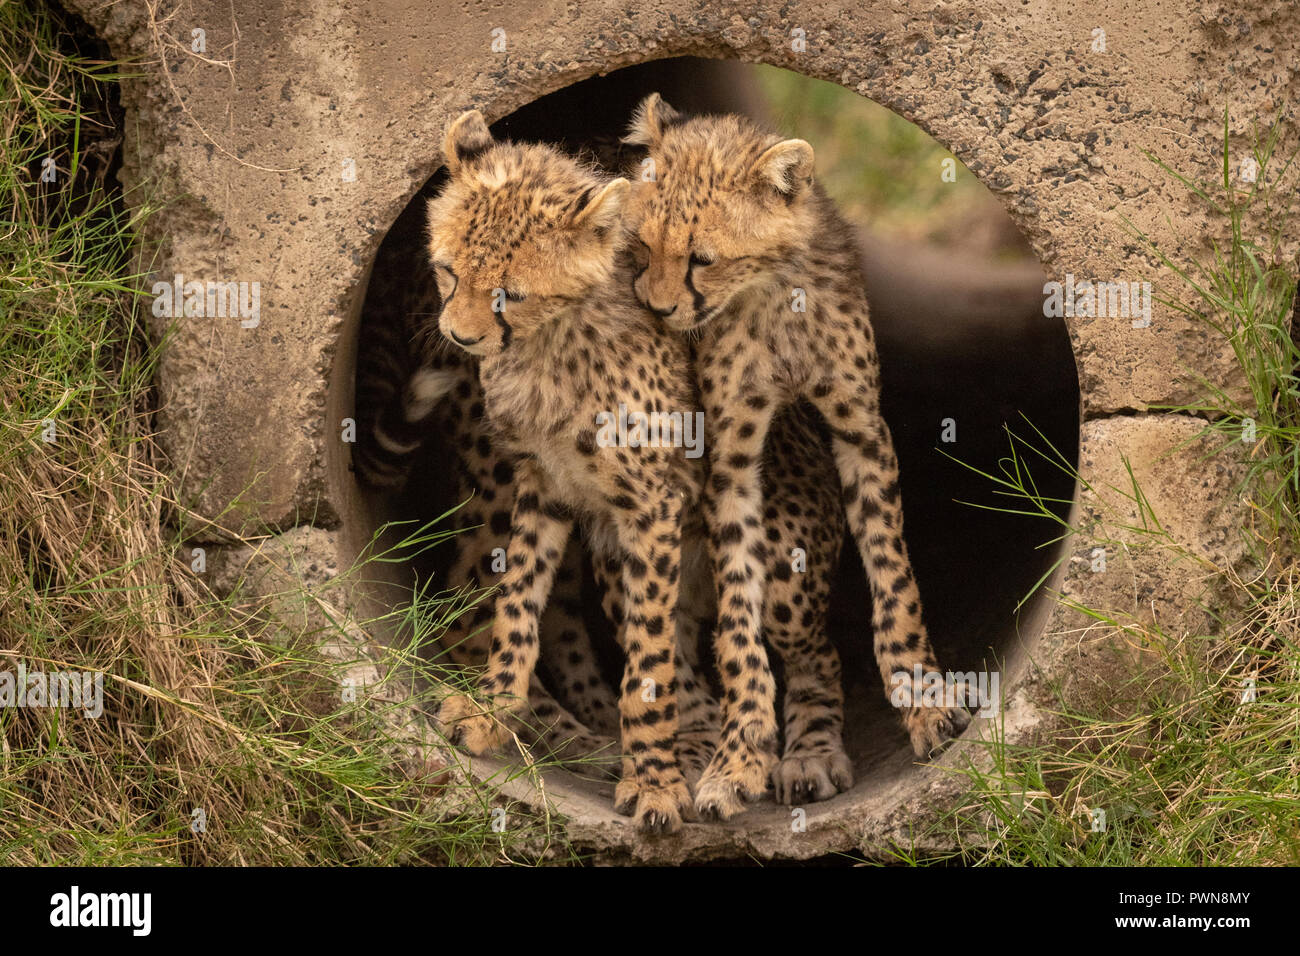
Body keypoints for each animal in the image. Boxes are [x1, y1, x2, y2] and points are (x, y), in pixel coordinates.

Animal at [622, 94, 971, 814]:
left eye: (702, 258)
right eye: (641, 245)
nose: (659, 310)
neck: (769, 293)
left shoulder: (862, 431)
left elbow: (895, 583)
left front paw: (925, 704)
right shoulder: (730, 464)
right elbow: (736, 635)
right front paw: (736, 760)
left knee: (818, 652)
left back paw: (810, 752)